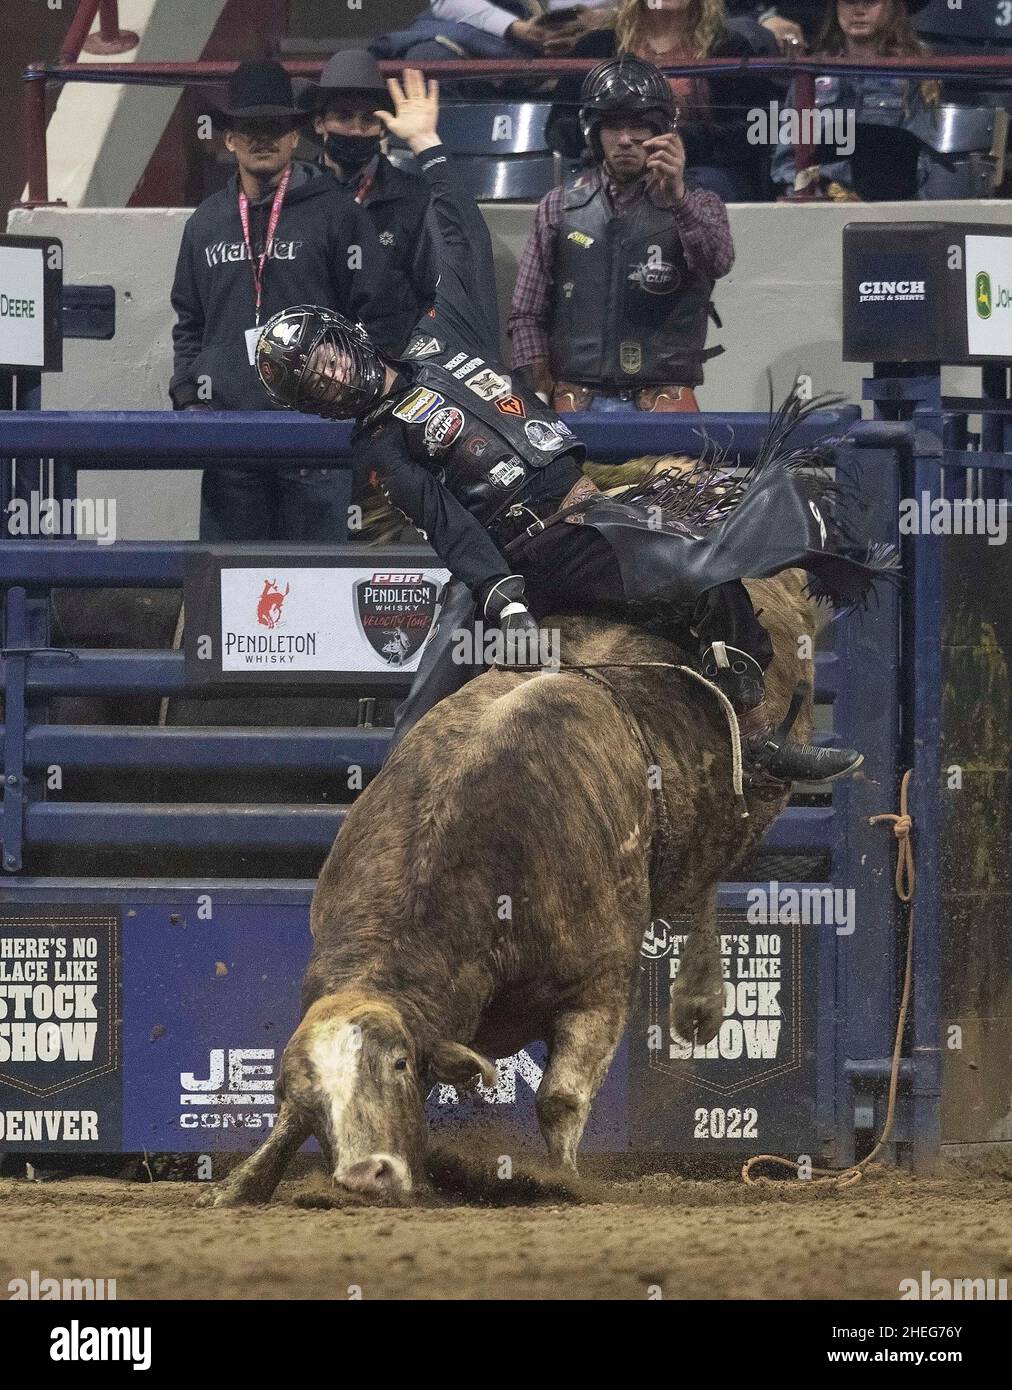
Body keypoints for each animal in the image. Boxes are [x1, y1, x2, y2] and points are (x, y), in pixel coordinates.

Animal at [197, 569, 815, 1207]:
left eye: (400, 1064)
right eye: (312, 1095)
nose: (366, 1175)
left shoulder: (600, 985)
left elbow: (559, 1099)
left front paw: (564, 1181)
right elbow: (287, 1127)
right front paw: (241, 1184)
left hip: (740, 809)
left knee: (708, 876)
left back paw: (701, 998)